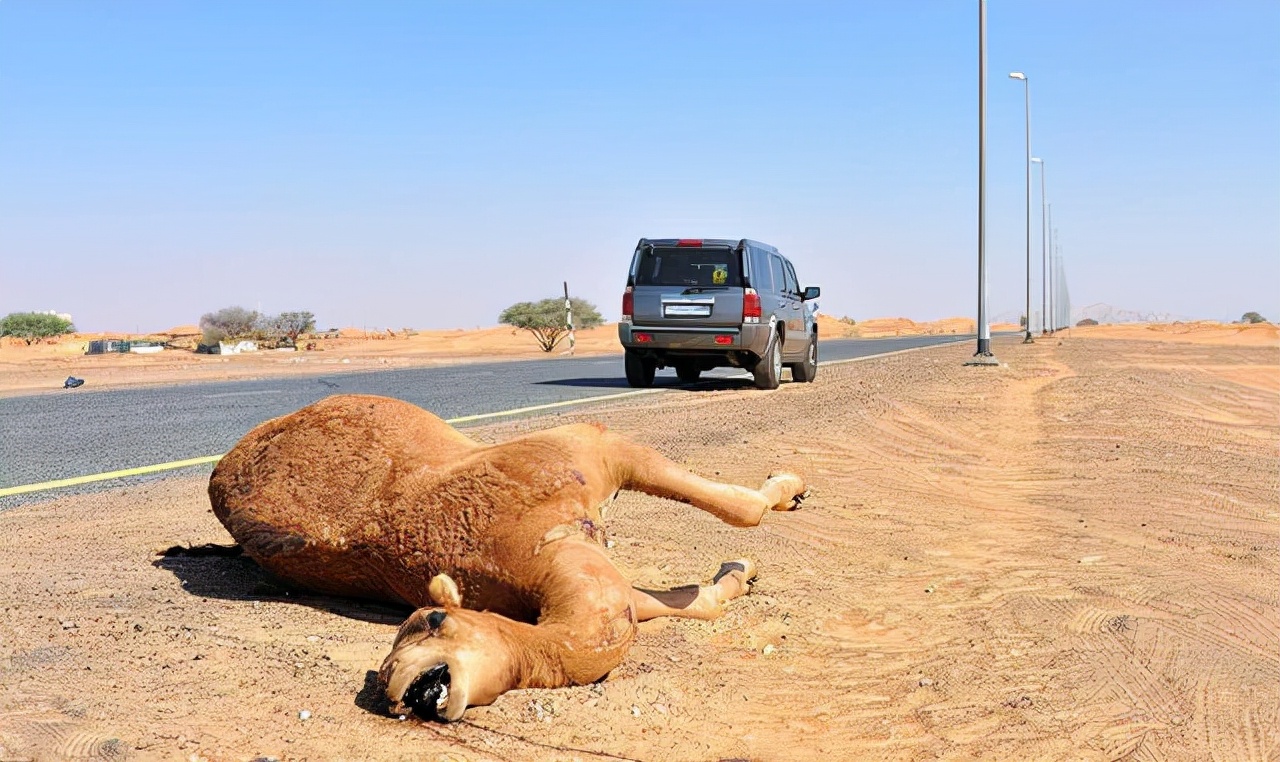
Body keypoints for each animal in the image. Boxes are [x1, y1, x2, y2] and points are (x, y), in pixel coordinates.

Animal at [207, 394, 807, 721]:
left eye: (434, 619)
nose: (401, 685)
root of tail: (220, 469)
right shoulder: (588, 566)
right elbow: (689, 596)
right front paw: (743, 568)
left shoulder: (591, 449)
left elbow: (740, 515)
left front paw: (783, 499)